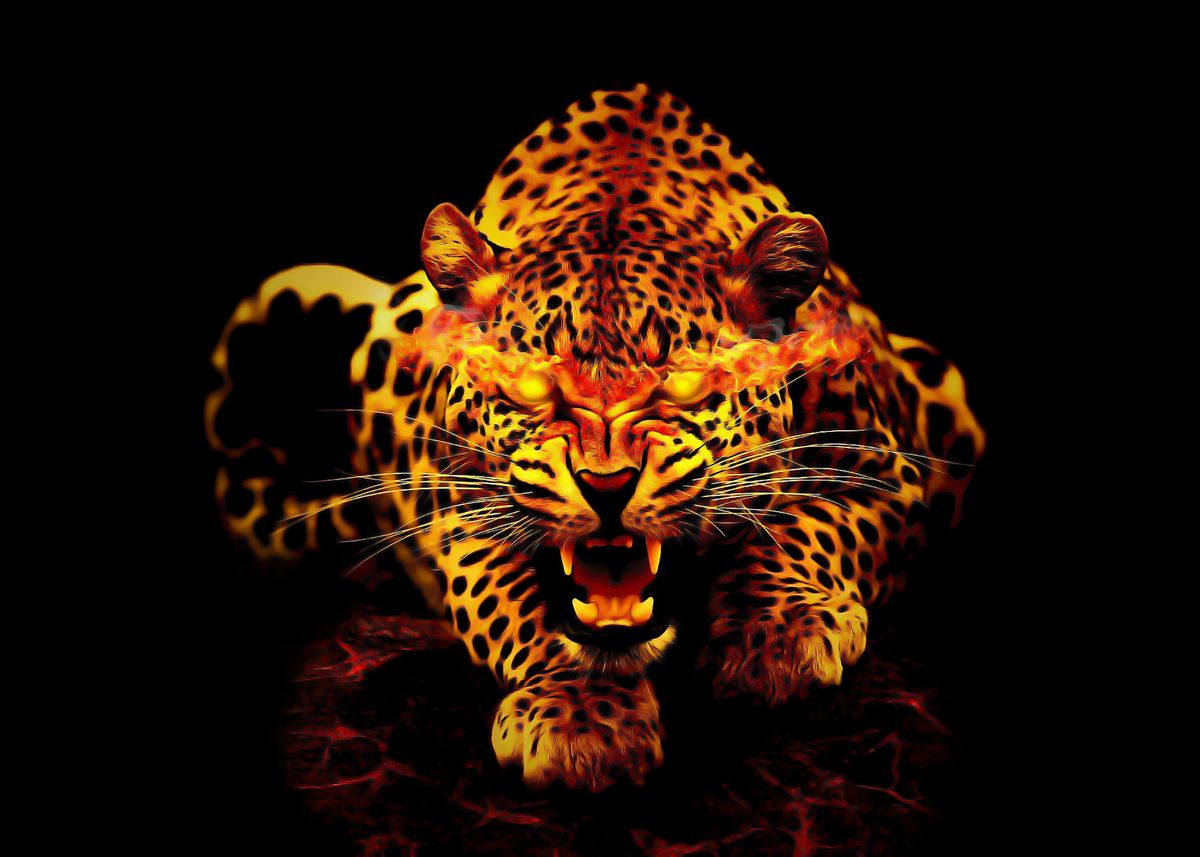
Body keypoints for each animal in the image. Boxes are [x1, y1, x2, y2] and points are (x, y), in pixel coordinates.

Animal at [206, 84, 984, 791]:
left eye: (685, 384)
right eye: (529, 386)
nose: (606, 486)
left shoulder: (883, 460)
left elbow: (810, 524)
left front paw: (778, 633)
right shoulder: (461, 508)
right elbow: (515, 601)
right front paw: (581, 718)